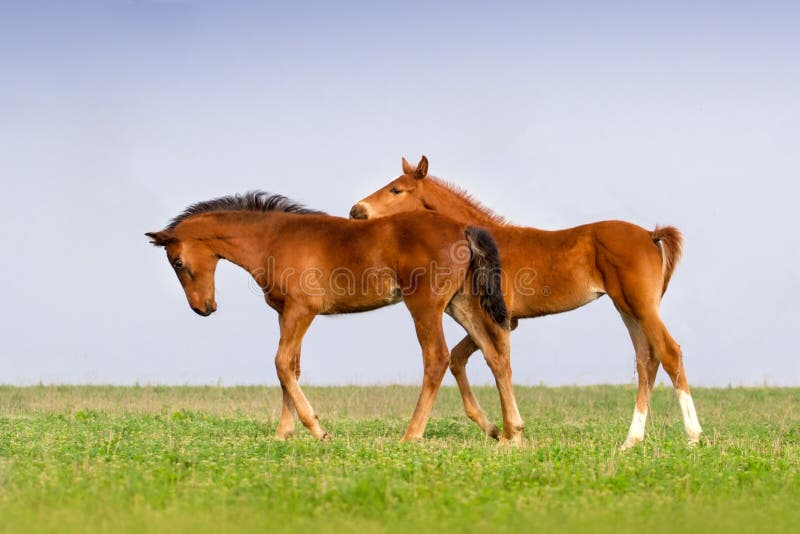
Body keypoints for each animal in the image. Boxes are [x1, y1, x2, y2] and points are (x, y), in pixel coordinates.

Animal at [146, 191, 524, 443]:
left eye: (177, 262)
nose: (203, 308)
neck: (273, 239)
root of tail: (463, 228)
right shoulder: (285, 312)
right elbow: (291, 368)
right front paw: (283, 433)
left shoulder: (302, 309)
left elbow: (280, 363)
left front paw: (316, 429)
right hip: (460, 303)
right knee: (494, 354)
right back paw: (508, 432)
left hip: (426, 305)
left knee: (437, 358)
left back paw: (412, 435)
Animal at [350, 157, 702, 449]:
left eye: (396, 189)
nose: (356, 211)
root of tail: (650, 234)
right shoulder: (499, 318)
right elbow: (460, 359)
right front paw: (495, 429)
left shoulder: (500, 318)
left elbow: (495, 362)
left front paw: (508, 434)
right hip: (627, 308)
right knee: (646, 360)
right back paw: (631, 440)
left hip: (641, 306)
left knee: (669, 352)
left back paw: (693, 436)